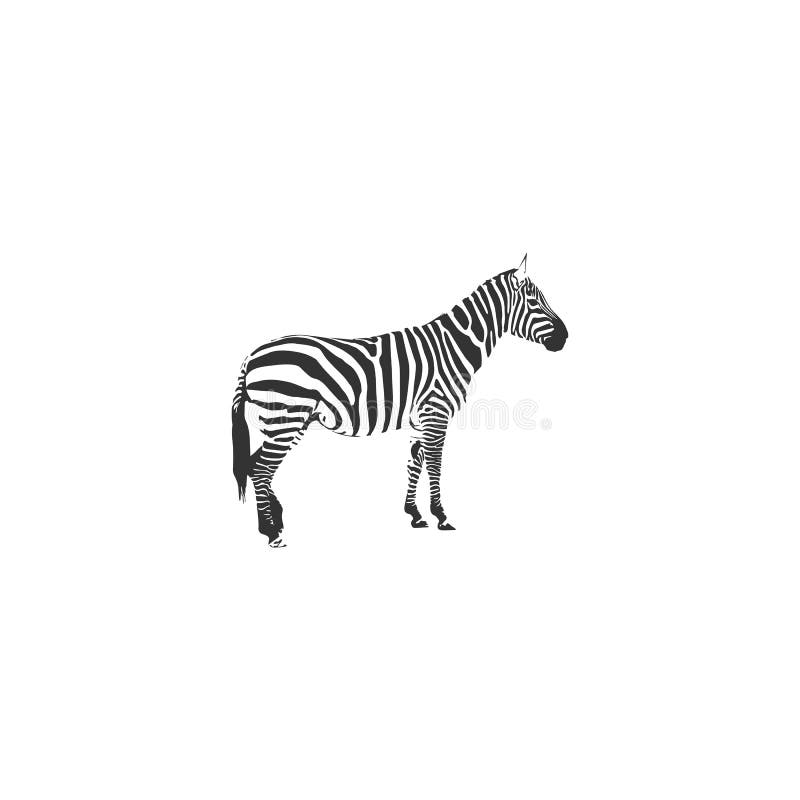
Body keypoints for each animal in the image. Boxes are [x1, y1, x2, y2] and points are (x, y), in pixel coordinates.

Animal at [232, 255, 567, 547]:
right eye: (535, 302)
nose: (565, 337)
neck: (453, 347)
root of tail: (251, 356)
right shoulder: (436, 412)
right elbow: (434, 462)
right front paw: (441, 516)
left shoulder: (420, 418)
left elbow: (414, 460)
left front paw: (415, 514)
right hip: (286, 417)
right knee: (261, 469)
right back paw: (271, 532)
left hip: (288, 421)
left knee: (255, 465)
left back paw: (275, 521)